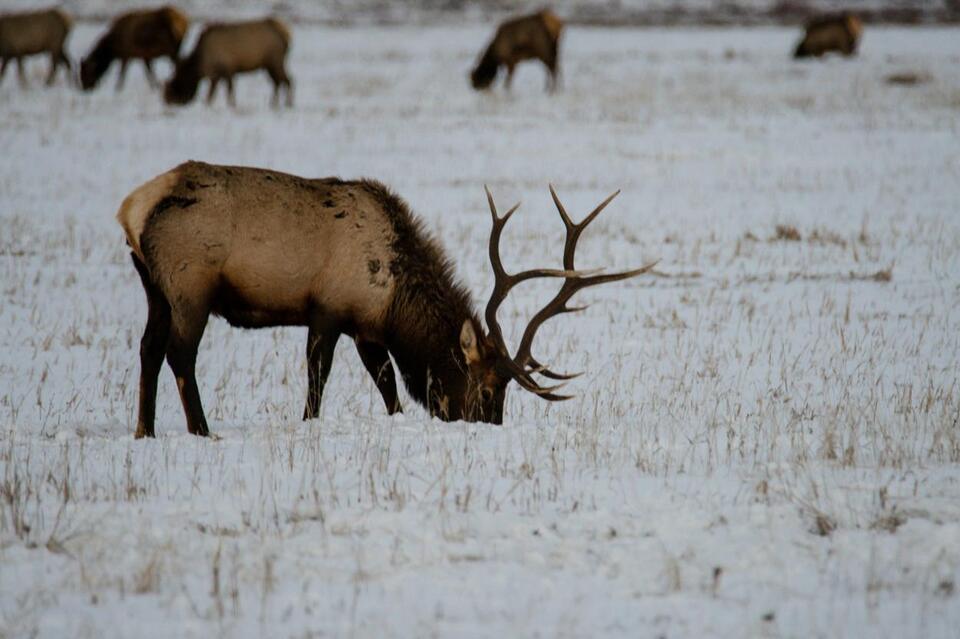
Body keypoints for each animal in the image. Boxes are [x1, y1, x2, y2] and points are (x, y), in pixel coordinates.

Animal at [116, 161, 654, 437]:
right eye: (487, 391)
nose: (489, 430)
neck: (395, 298)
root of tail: (132, 209)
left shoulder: (366, 329)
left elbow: (388, 387)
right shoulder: (330, 310)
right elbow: (318, 378)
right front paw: (308, 423)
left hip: (153, 286)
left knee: (147, 349)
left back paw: (145, 430)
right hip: (190, 285)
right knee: (179, 354)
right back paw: (201, 430)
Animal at [164, 18, 292, 108]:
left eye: (173, 87)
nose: (167, 102)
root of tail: (286, 36)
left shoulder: (224, 70)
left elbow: (221, 91)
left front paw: (229, 105)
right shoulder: (224, 73)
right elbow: (220, 91)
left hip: (275, 61)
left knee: (287, 80)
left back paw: (288, 103)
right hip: (269, 65)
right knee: (278, 82)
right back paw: (274, 104)